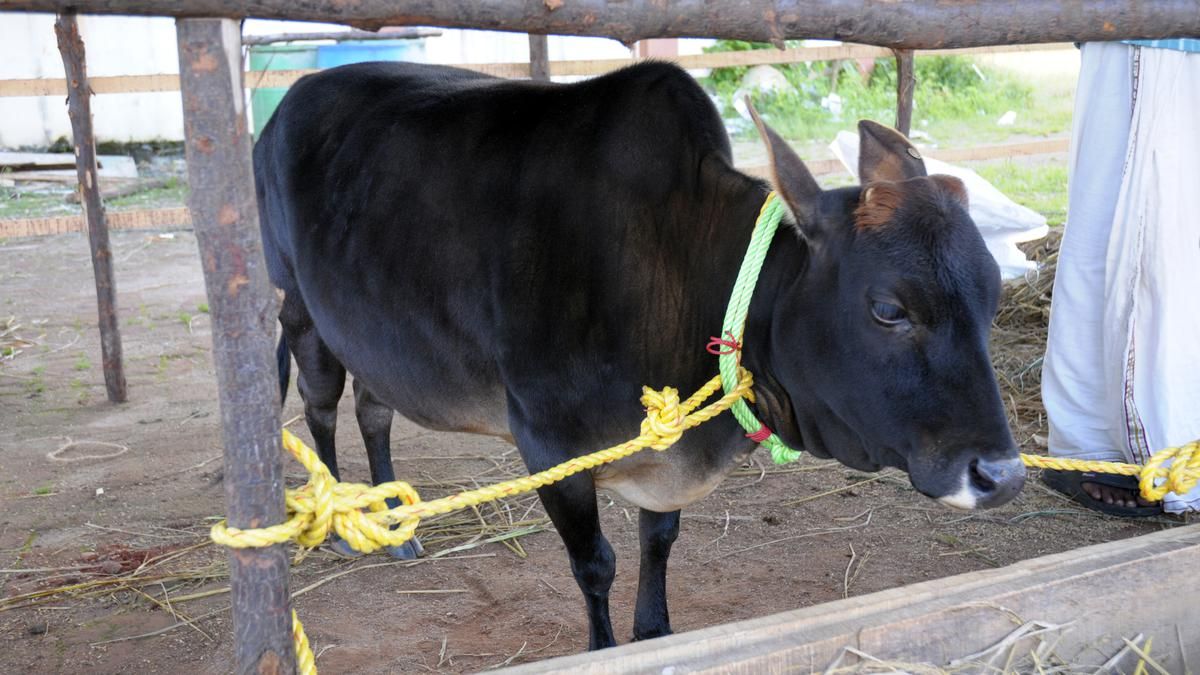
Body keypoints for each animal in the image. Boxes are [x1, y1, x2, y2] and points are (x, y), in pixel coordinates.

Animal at [253, 60, 1026, 650]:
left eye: (992, 295)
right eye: (889, 309)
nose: (1003, 475)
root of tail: (290, 99)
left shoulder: (666, 444)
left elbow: (660, 543)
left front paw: (654, 634)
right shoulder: (549, 443)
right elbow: (595, 563)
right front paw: (604, 647)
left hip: (375, 334)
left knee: (374, 407)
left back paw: (395, 524)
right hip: (300, 307)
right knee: (321, 406)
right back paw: (344, 525)